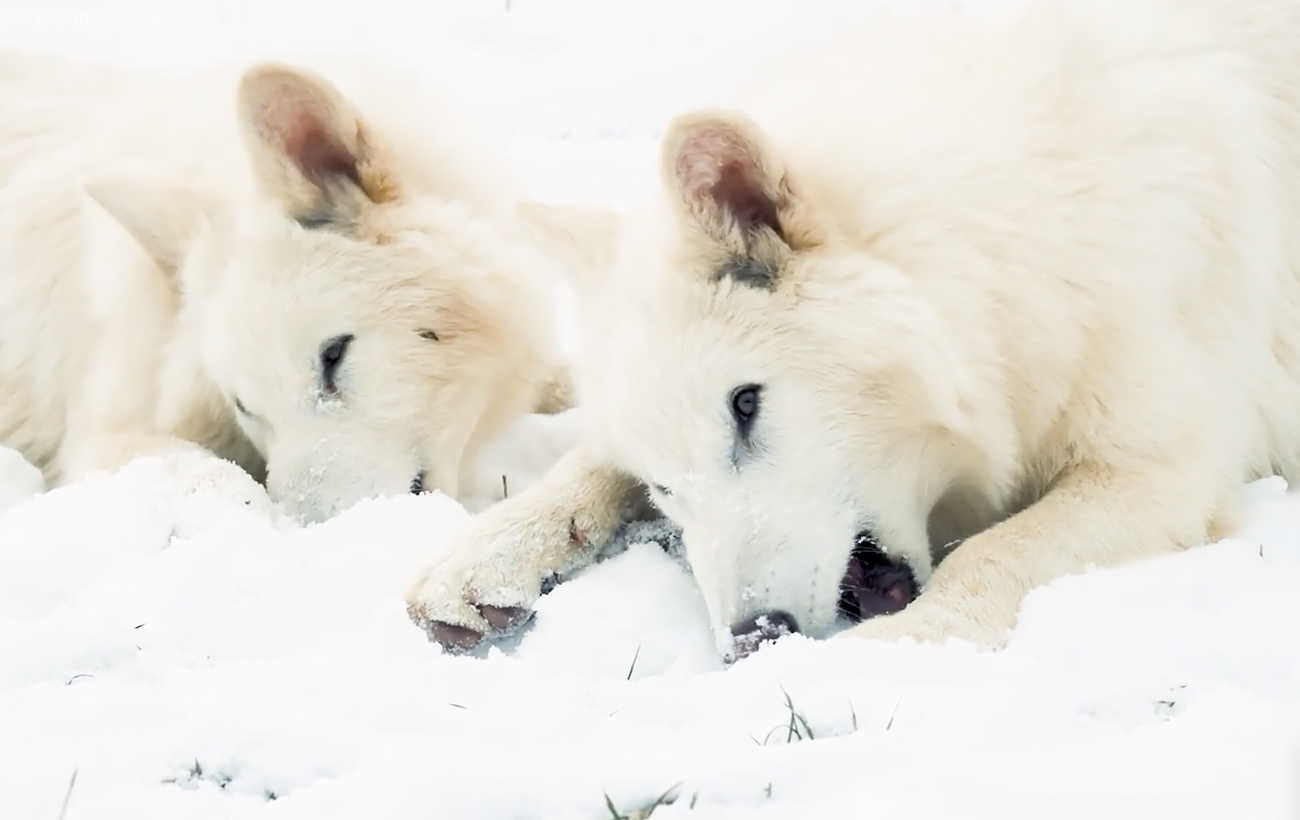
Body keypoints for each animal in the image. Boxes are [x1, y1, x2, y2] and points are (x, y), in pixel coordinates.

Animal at [407, 0, 1300, 659]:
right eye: (663, 485)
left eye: (746, 407)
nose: (753, 639)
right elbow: (588, 464)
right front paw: (486, 555)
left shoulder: (1159, 472)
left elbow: (995, 552)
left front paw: (896, 656)